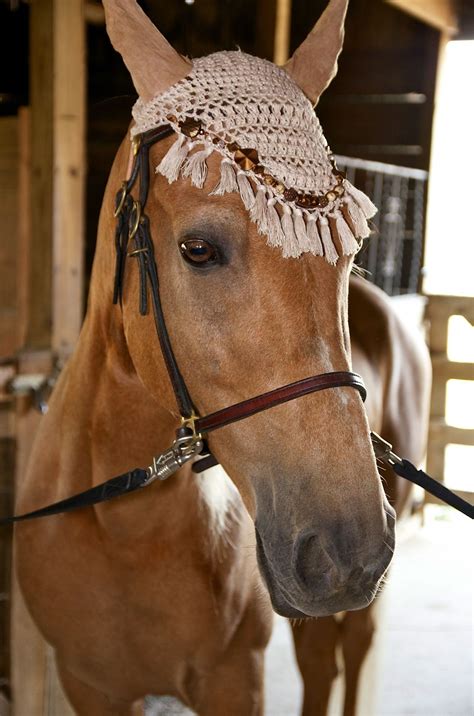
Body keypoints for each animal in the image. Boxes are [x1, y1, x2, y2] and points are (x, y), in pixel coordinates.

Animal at [14, 0, 430, 714]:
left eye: (348, 255)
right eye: (198, 249)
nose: (348, 552)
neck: (127, 527)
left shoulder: (237, 679)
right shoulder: (87, 683)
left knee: (345, 654)